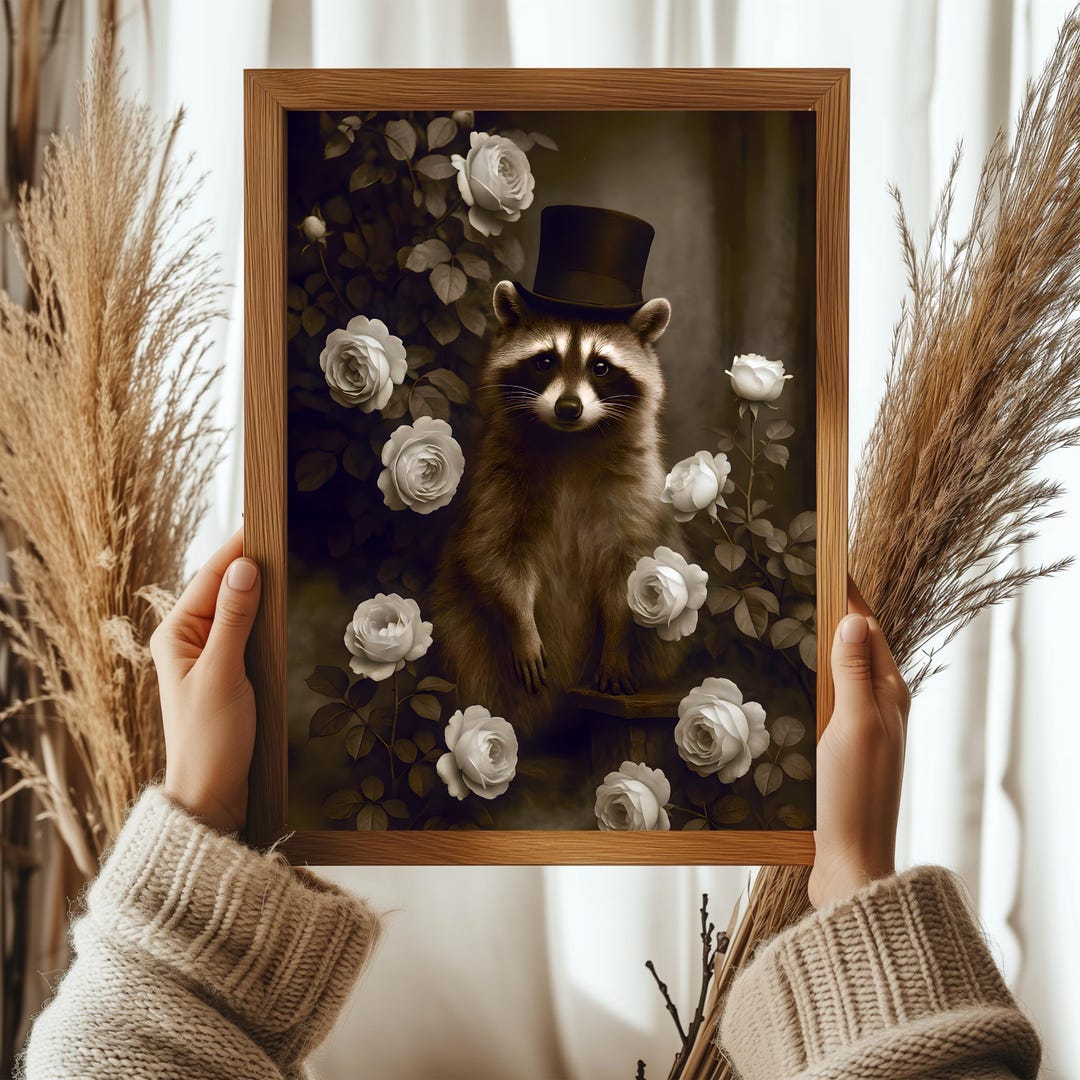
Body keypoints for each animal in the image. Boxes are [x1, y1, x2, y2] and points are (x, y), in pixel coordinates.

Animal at [428, 280, 687, 739]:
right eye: (545, 361)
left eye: (600, 367)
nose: (569, 407)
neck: (573, 440)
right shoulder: (498, 482)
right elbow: (492, 555)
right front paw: (522, 624)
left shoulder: (635, 491)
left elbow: (631, 570)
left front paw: (617, 639)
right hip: (464, 629)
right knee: (467, 652)